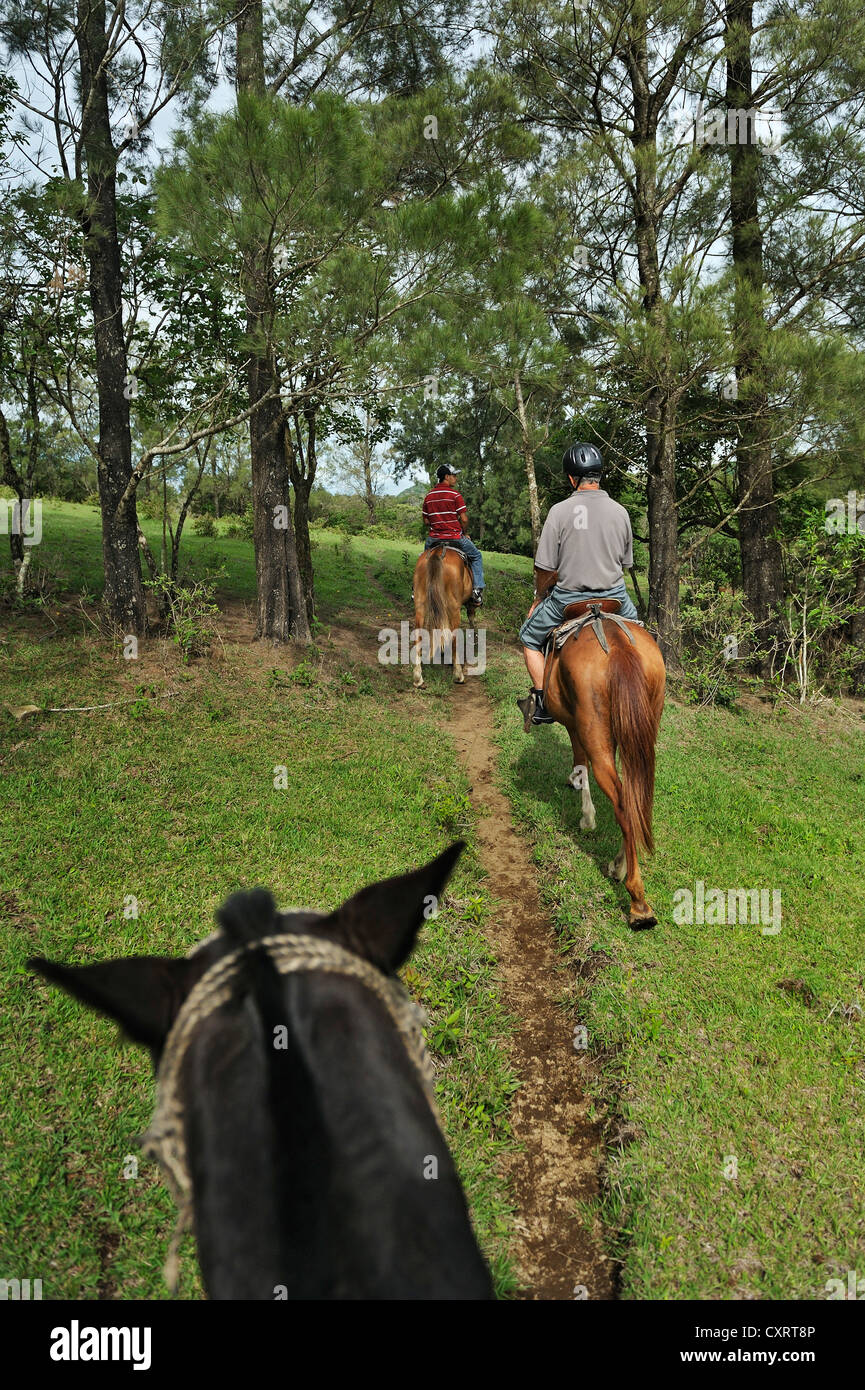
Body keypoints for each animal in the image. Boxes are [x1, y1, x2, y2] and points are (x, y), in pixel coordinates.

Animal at [411, 543, 475, 688]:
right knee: (454, 637)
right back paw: (458, 674)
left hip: (420, 605)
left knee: (419, 633)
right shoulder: (469, 604)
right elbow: (471, 618)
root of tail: (437, 553)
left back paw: (418, 677)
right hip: (454, 608)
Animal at [520, 596, 665, 928]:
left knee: (622, 801)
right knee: (635, 797)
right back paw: (621, 867)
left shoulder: (575, 725)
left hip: (595, 731)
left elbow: (580, 763)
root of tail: (619, 648)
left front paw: (586, 815)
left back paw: (637, 902)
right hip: (642, 730)